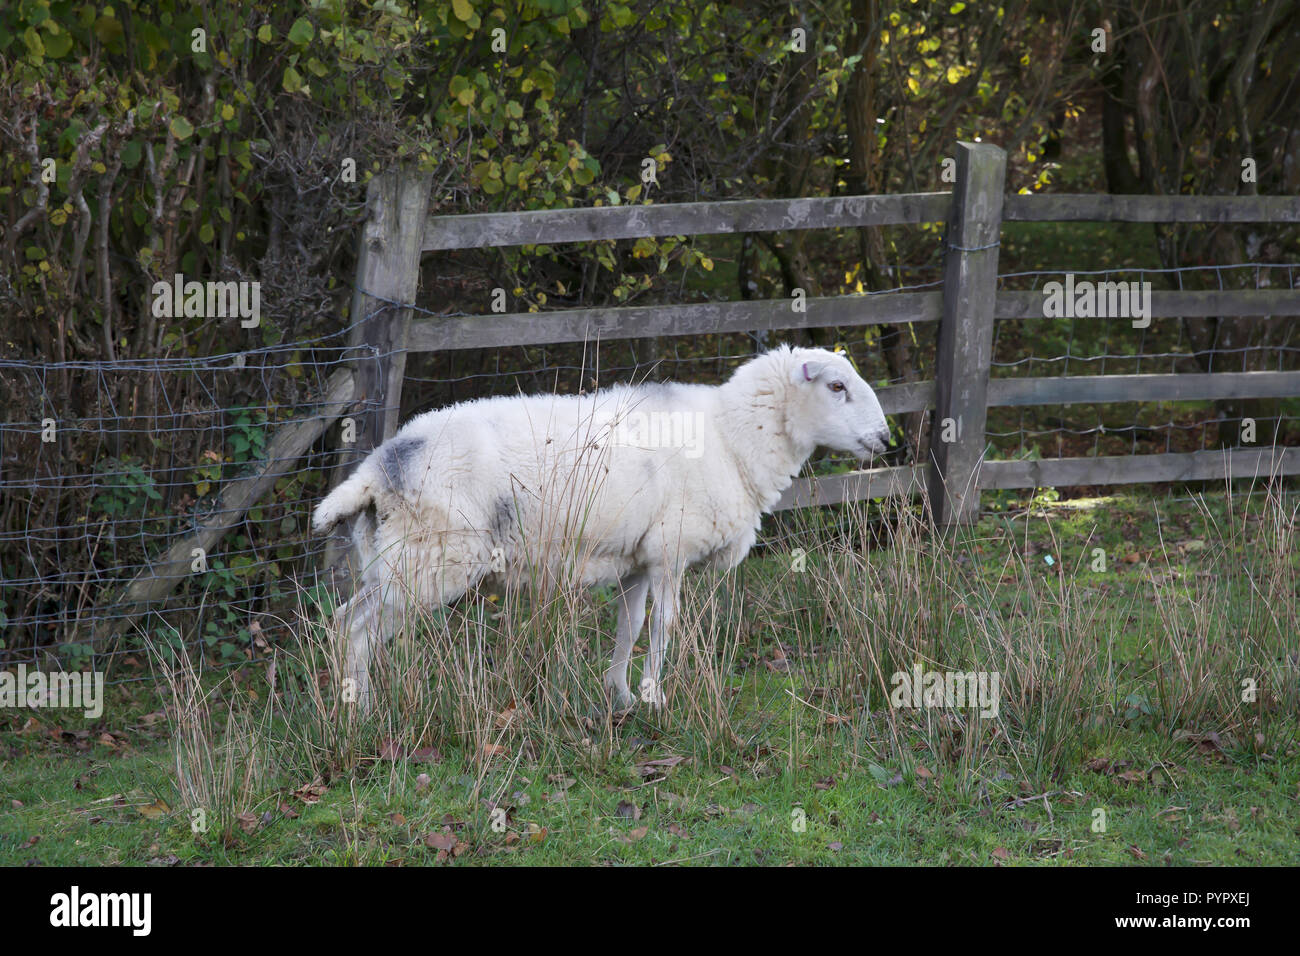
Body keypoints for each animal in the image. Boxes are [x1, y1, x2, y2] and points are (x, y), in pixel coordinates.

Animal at [311, 344, 891, 711]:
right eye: (837, 386)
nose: (886, 439)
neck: (733, 436)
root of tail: (379, 467)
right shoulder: (671, 550)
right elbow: (664, 628)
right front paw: (656, 697)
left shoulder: (637, 558)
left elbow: (629, 627)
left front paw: (623, 695)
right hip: (429, 561)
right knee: (357, 629)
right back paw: (364, 713)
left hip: (391, 560)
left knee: (345, 623)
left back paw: (356, 707)